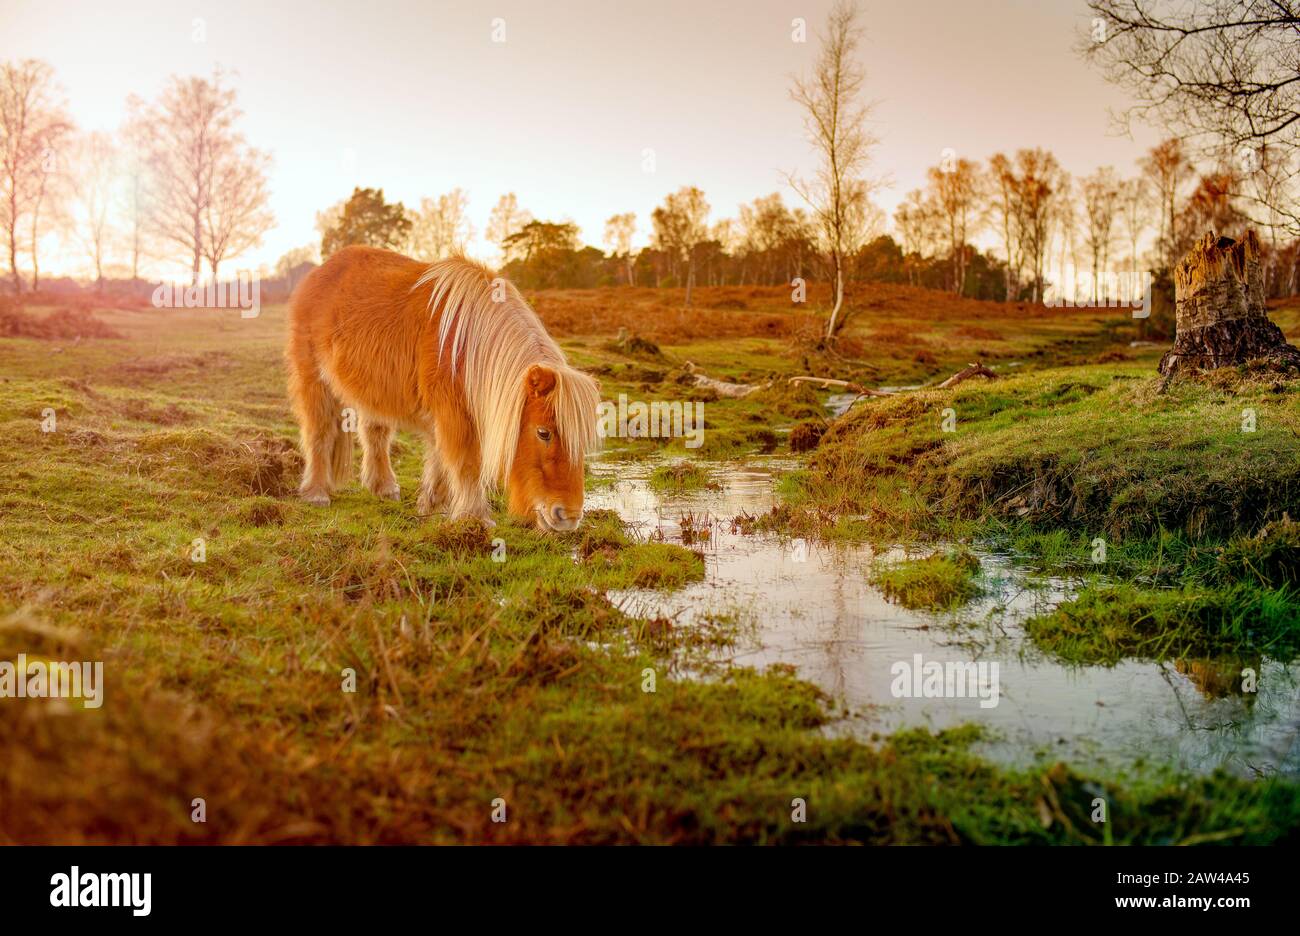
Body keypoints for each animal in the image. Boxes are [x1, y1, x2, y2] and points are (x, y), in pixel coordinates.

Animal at [285, 246, 600, 531]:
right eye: (544, 433)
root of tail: (320, 272)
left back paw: (384, 487)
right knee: (319, 431)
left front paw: (434, 504)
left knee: (375, 434)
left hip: (373, 392)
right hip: (314, 380)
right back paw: (316, 492)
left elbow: (439, 456)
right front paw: (474, 517)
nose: (568, 517)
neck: (467, 343)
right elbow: (466, 463)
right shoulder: (453, 414)